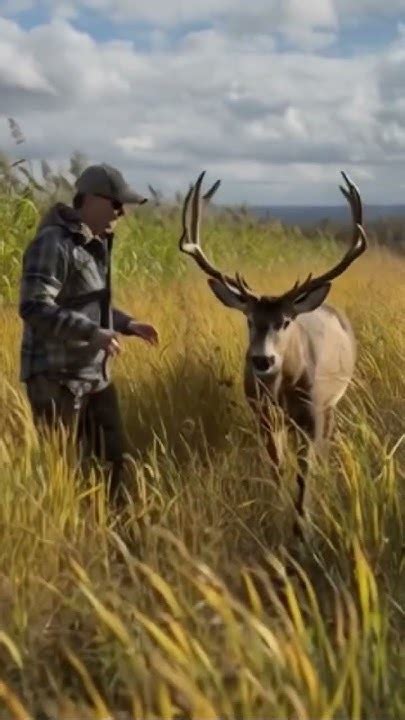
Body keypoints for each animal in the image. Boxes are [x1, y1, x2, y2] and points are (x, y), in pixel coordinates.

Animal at [178, 170, 368, 537]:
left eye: (285, 321)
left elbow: (305, 473)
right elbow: (276, 467)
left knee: (326, 445)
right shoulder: (264, 414)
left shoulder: (312, 412)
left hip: (332, 402)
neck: (282, 389)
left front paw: (302, 526)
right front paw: (279, 510)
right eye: (249, 319)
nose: (262, 360)